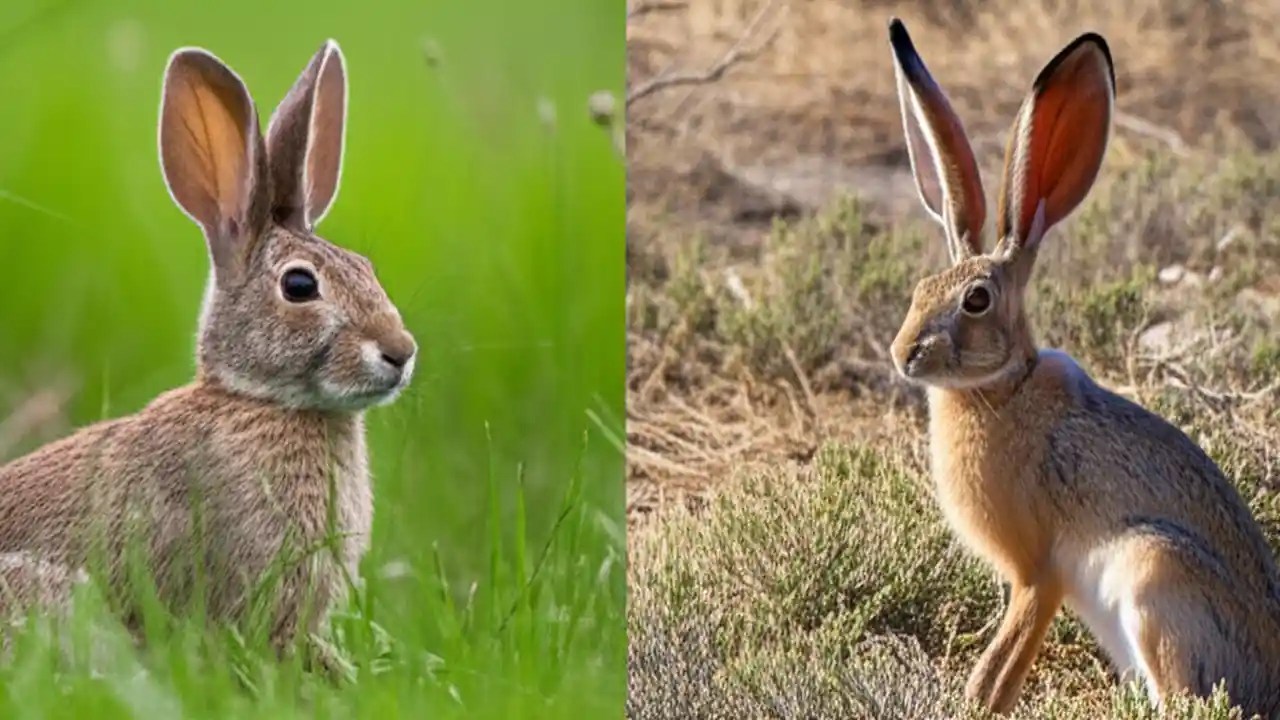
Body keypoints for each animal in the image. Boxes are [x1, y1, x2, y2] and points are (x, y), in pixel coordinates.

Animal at [884, 17, 1280, 716]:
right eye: (920, 288)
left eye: (976, 300)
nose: (904, 355)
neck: (1003, 388)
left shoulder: (1038, 571)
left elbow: (1004, 661)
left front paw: (978, 702)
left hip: (1154, 572)